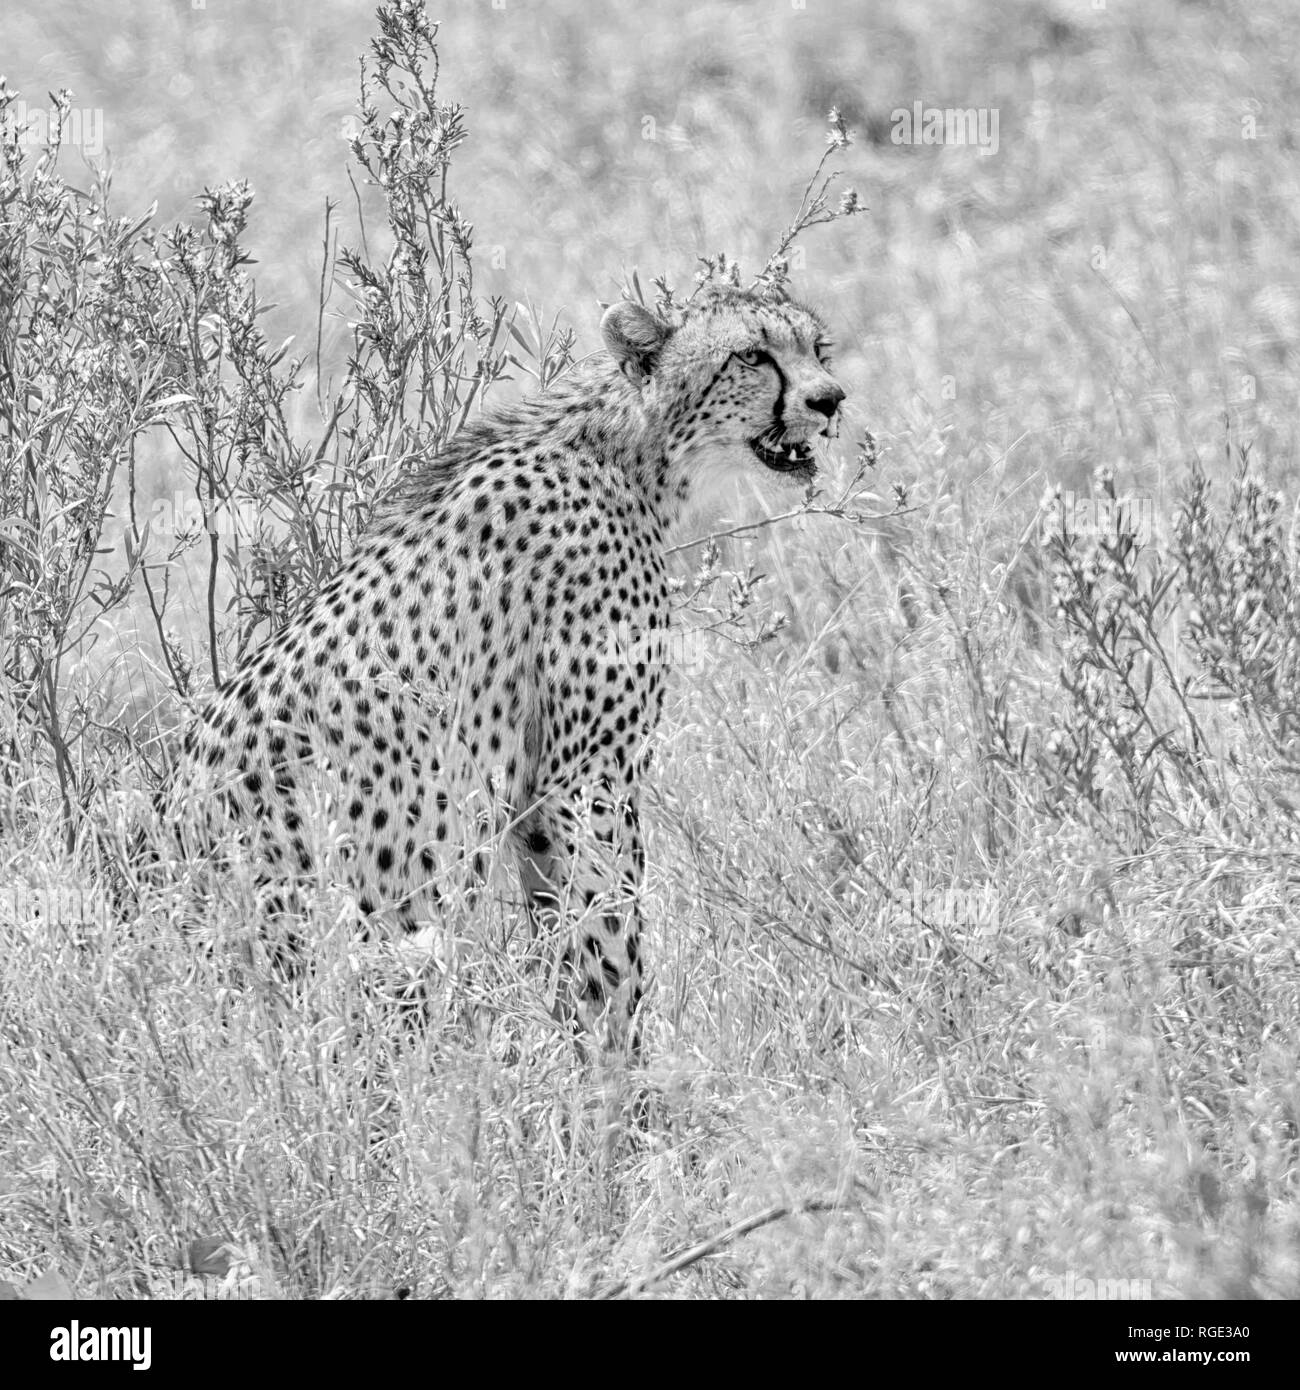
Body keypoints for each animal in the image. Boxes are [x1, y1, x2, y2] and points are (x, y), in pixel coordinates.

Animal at [173, 280, 846, 1055]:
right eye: (752, 355)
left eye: (817, 348)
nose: (832, 399)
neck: (629, 452)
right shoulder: (585, 780)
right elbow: (610, 936)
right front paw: (620, 1065)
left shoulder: (535, 796)